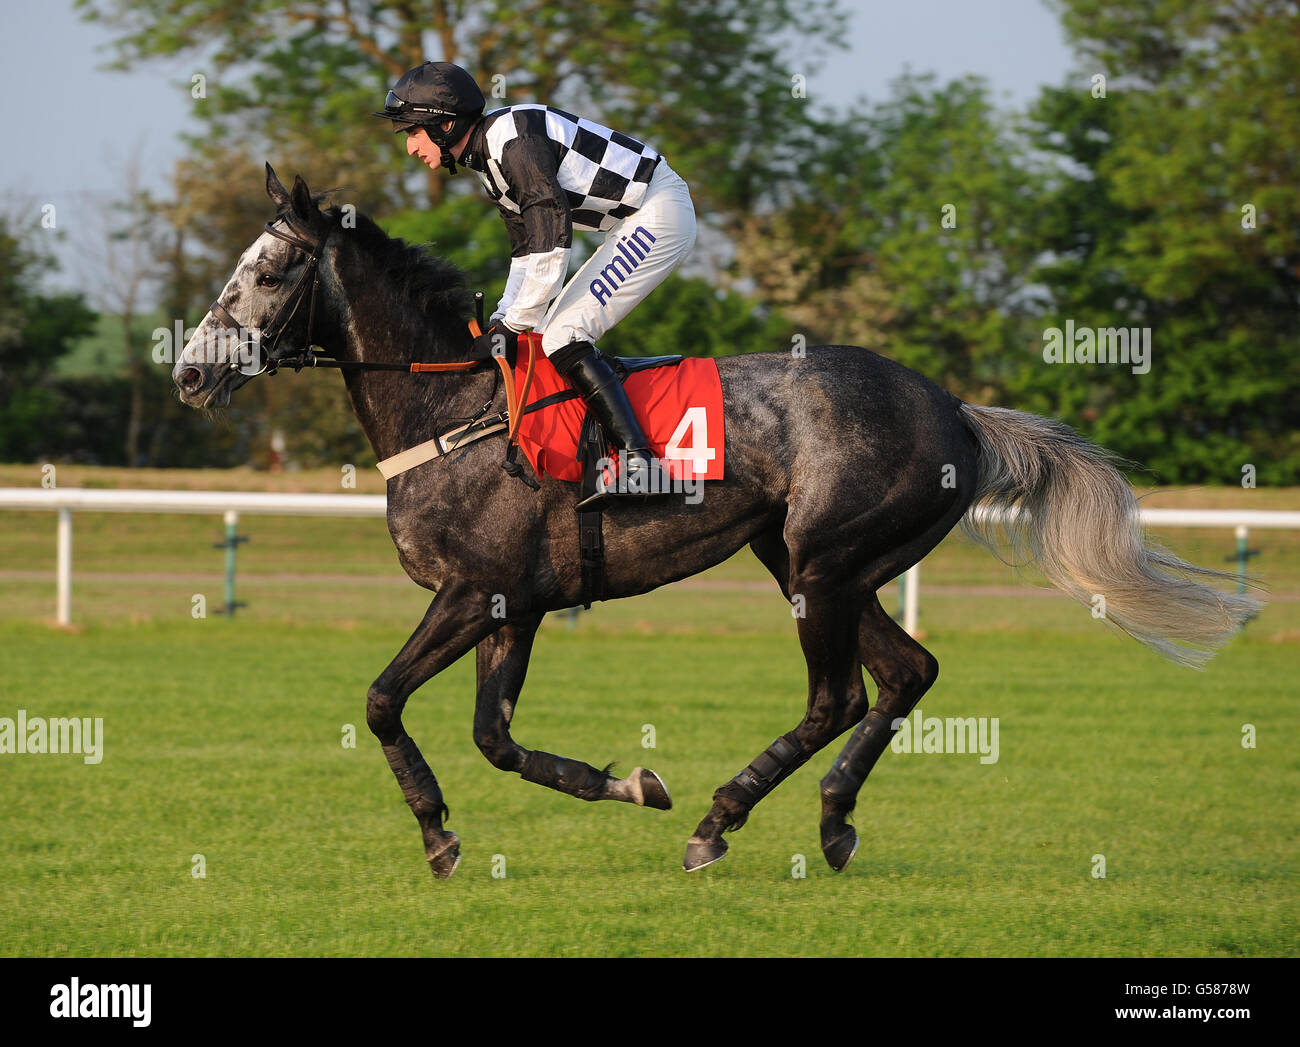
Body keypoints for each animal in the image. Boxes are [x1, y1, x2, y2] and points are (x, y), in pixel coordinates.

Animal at [173, 166, 1260, 879]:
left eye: (265, 273)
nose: (186, 372)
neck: (452, 413)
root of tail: (956, 411)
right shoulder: (514, 605)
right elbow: (494, 737)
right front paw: (623, 784)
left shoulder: (469, 591)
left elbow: (382, 700)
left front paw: (441, 834)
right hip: (812, 562)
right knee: (905, 673)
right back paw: (829, 822)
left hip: (825, 564)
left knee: (839, 695)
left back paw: (721, 819)